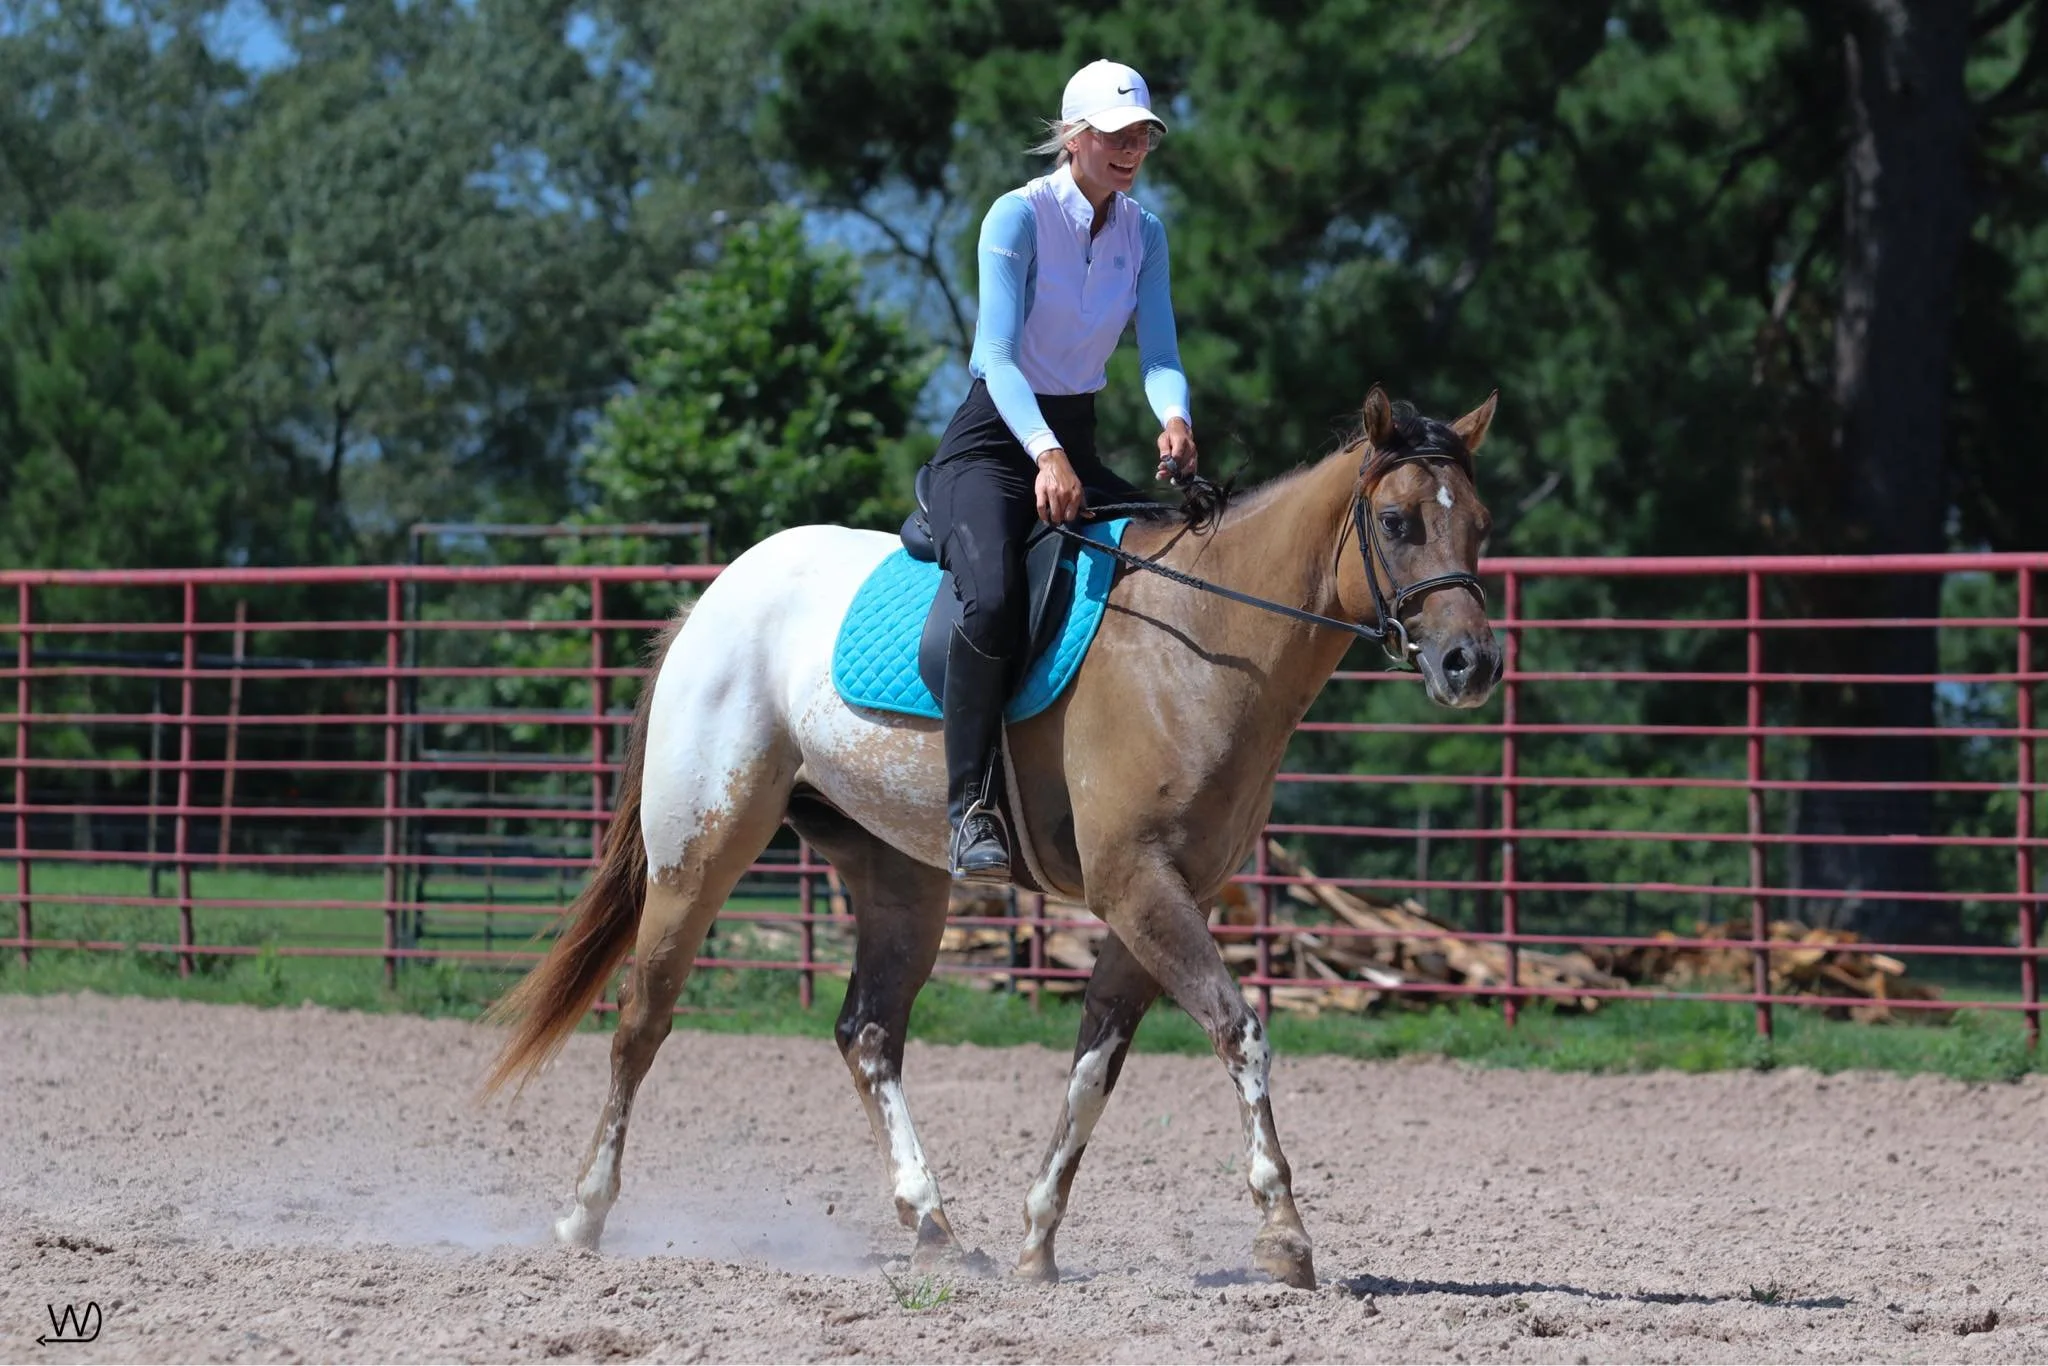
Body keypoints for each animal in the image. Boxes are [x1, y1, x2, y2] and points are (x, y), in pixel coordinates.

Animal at [479, 384, 1501, 1291]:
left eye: (1481, 525)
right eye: (1399, 522)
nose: (1471, 663)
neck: (1201, 643)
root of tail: (715, 599)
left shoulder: (1163, 900)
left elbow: (1095, 1068)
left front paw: (1037, 1242)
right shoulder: (1138, 886)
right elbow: (1238, 1031)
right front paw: (1285, 1236)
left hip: (901, 880)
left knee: (867, 1034)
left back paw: (934, 1225)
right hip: (699, 854)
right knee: (642, 1021)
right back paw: (583, 1215)